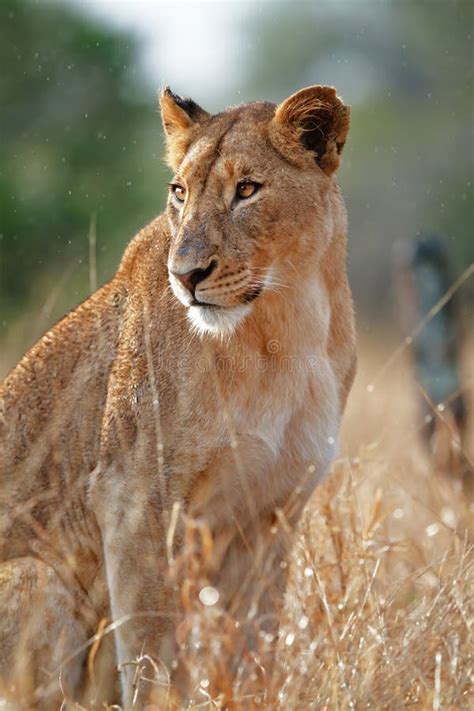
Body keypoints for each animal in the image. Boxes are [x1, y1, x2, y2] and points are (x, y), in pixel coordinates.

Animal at [0, 85, 356, 708]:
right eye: (180, 192)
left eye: (247, 189)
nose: (186, 275)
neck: (288, 324)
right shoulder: (133, 495)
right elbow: (147, 651)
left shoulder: (272, 513)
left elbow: (255, 649)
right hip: (38, 572)